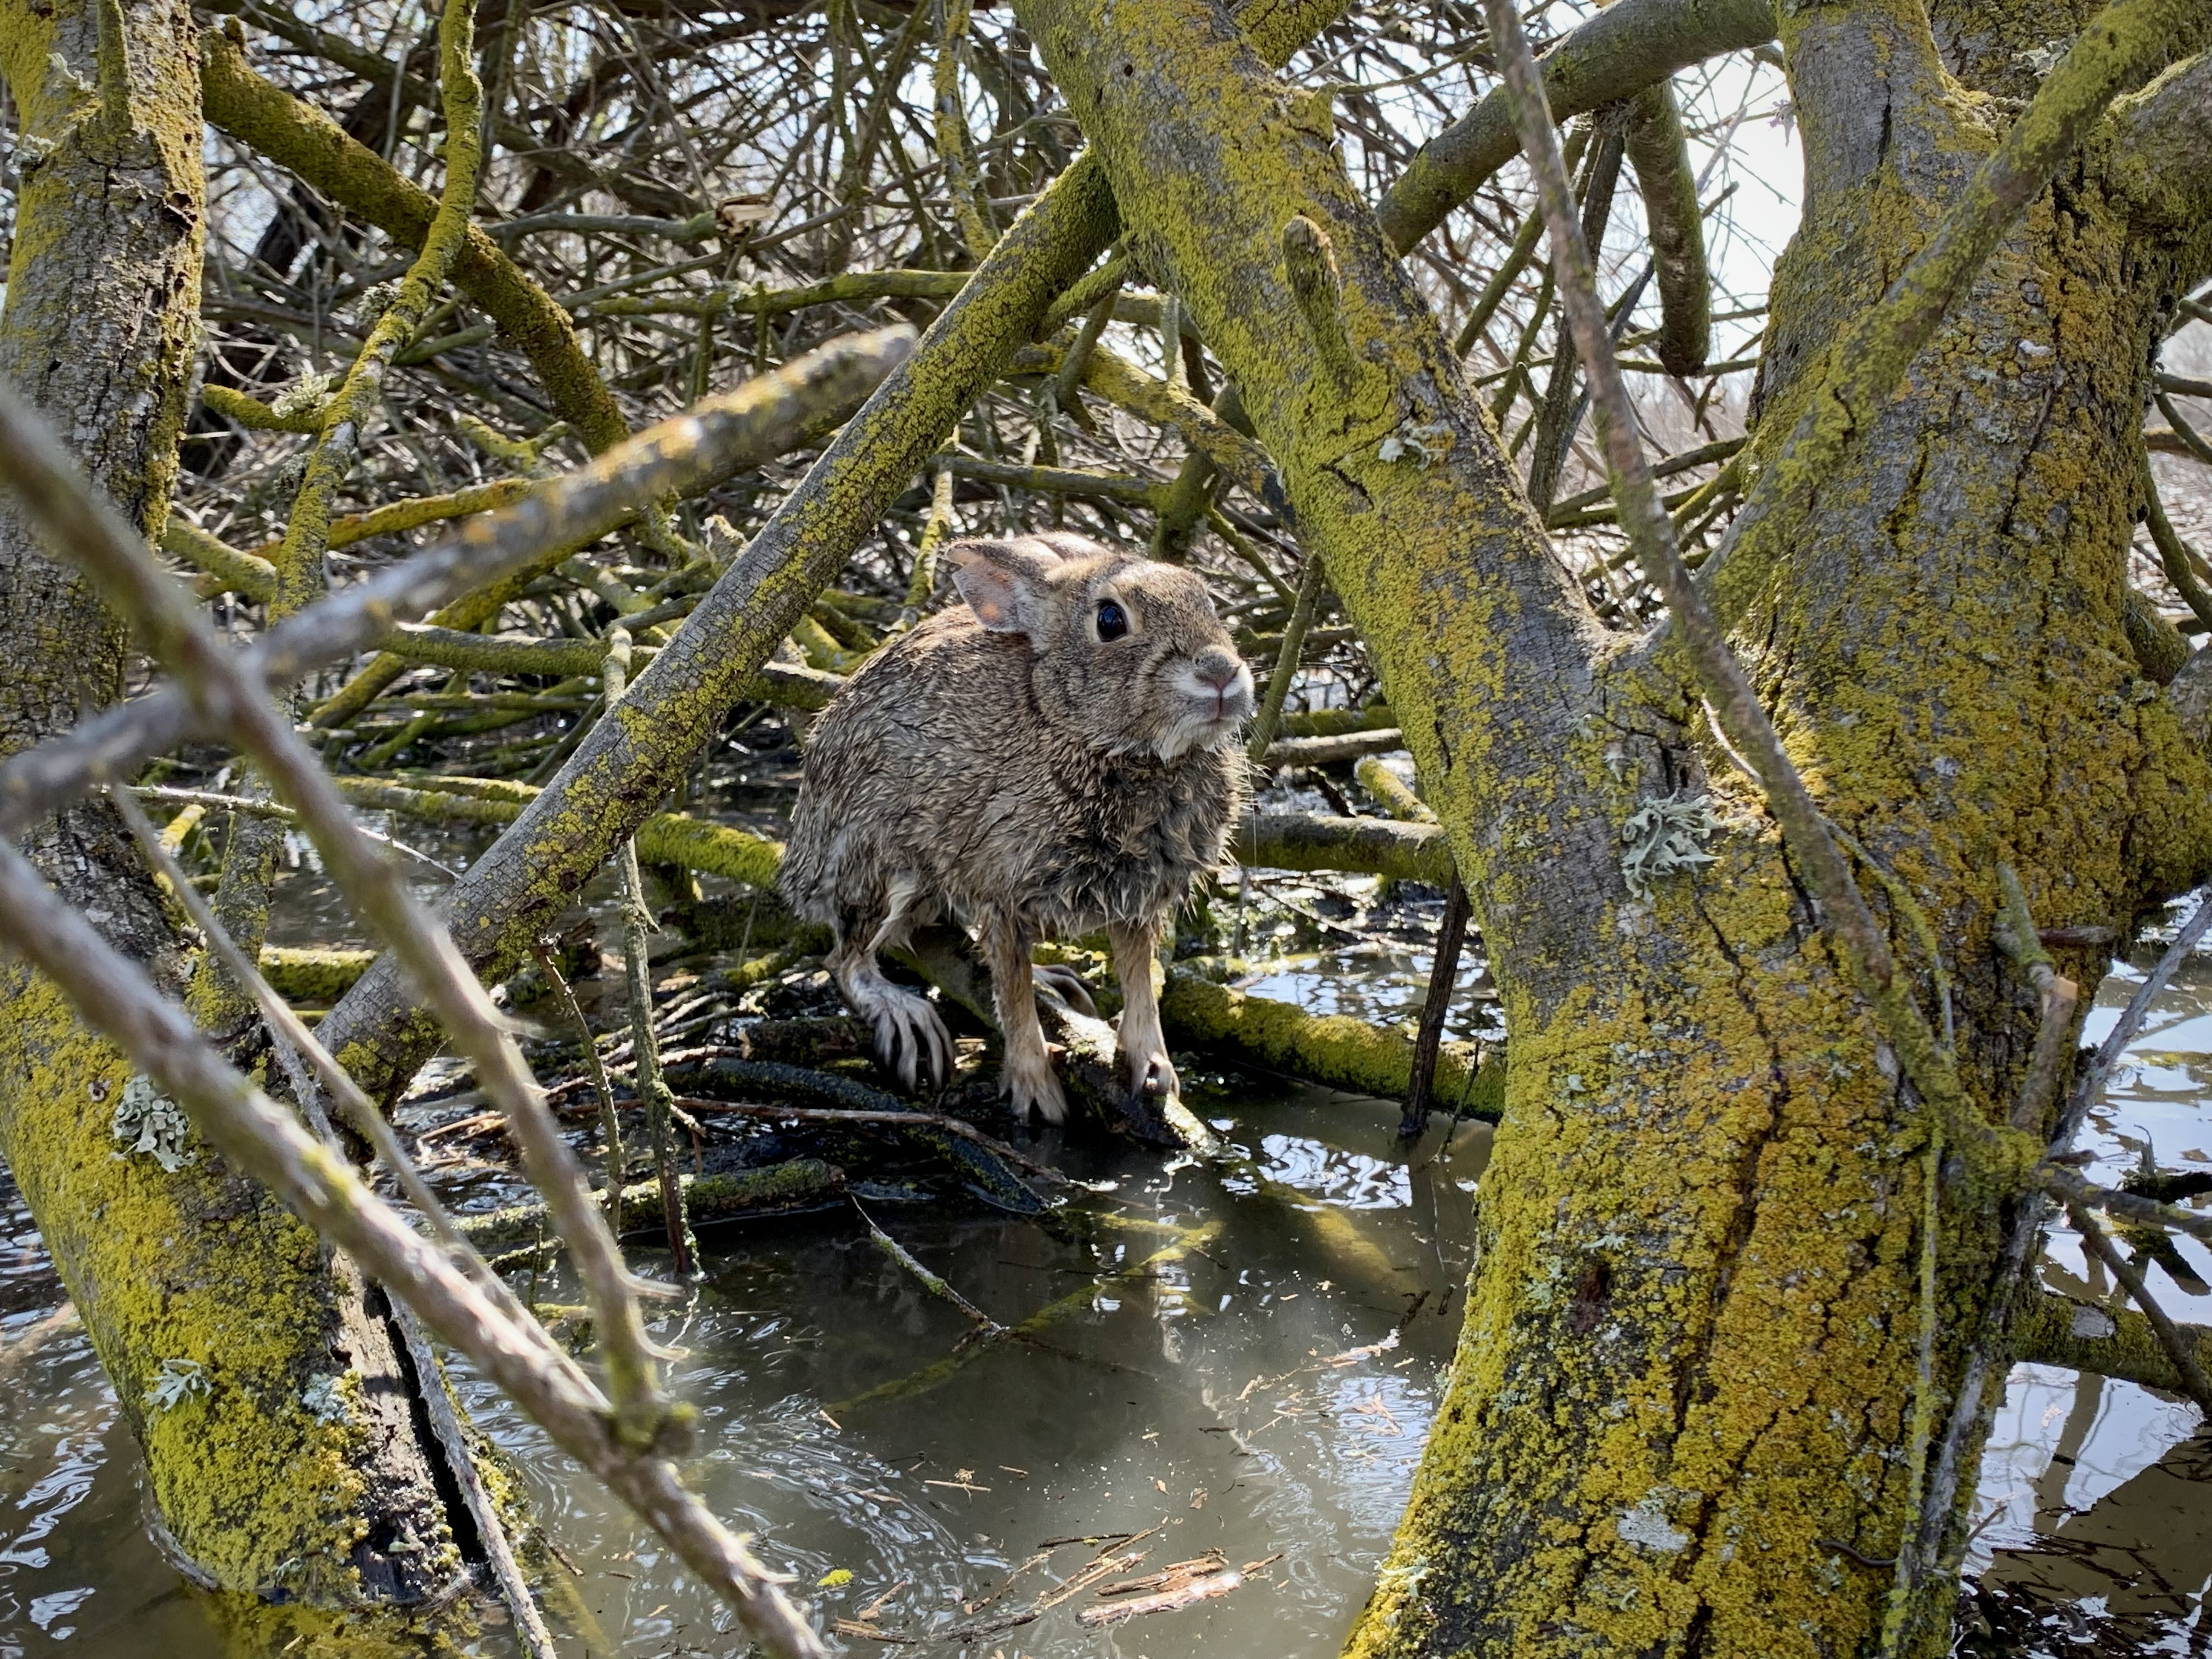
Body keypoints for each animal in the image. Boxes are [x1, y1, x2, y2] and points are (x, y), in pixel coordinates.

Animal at [780, 531, 1255, 1123]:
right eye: (1110, 621)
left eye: (1203, 598)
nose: (1219, 672)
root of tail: (799, 866)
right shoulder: (1001, 889)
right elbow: (1012, 991)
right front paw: (1036, 1092)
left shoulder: (1137, 897)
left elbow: (1138, 977)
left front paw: (1154, 1069)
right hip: (874, 865)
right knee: (848, 960)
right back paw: (907, 1014)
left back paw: (1052, 981)